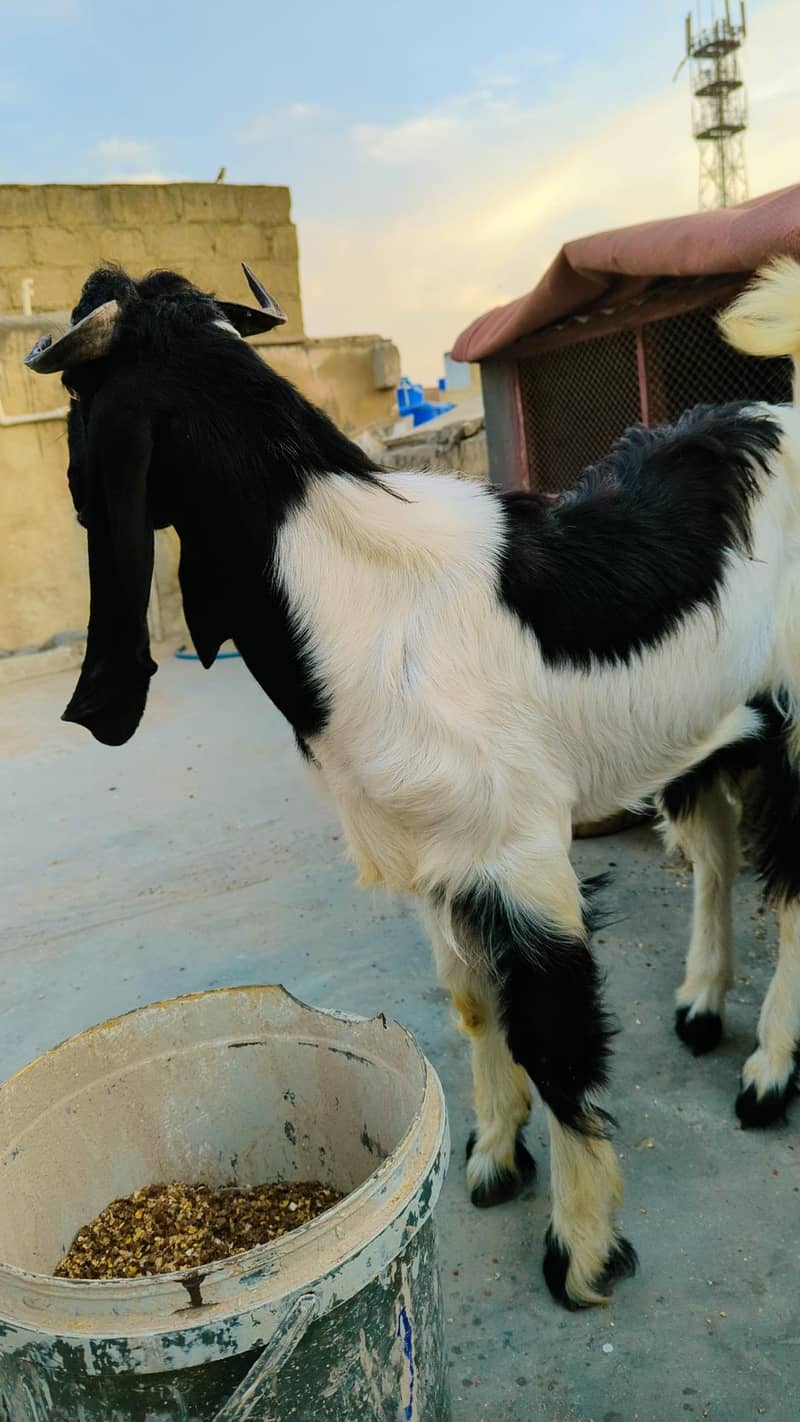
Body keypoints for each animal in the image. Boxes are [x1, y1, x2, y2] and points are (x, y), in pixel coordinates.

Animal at [24, 257, 800, 1310]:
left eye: (74, 396)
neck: (362, 597)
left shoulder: (521, 852)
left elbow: (553, 1032)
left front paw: (583, 1250)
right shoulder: (440, 859)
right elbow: (475, 1002)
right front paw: (496, 1157)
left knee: (792, 888)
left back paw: (767, 1074)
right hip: (708, 727)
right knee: (715, 856)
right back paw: (701, 1007)